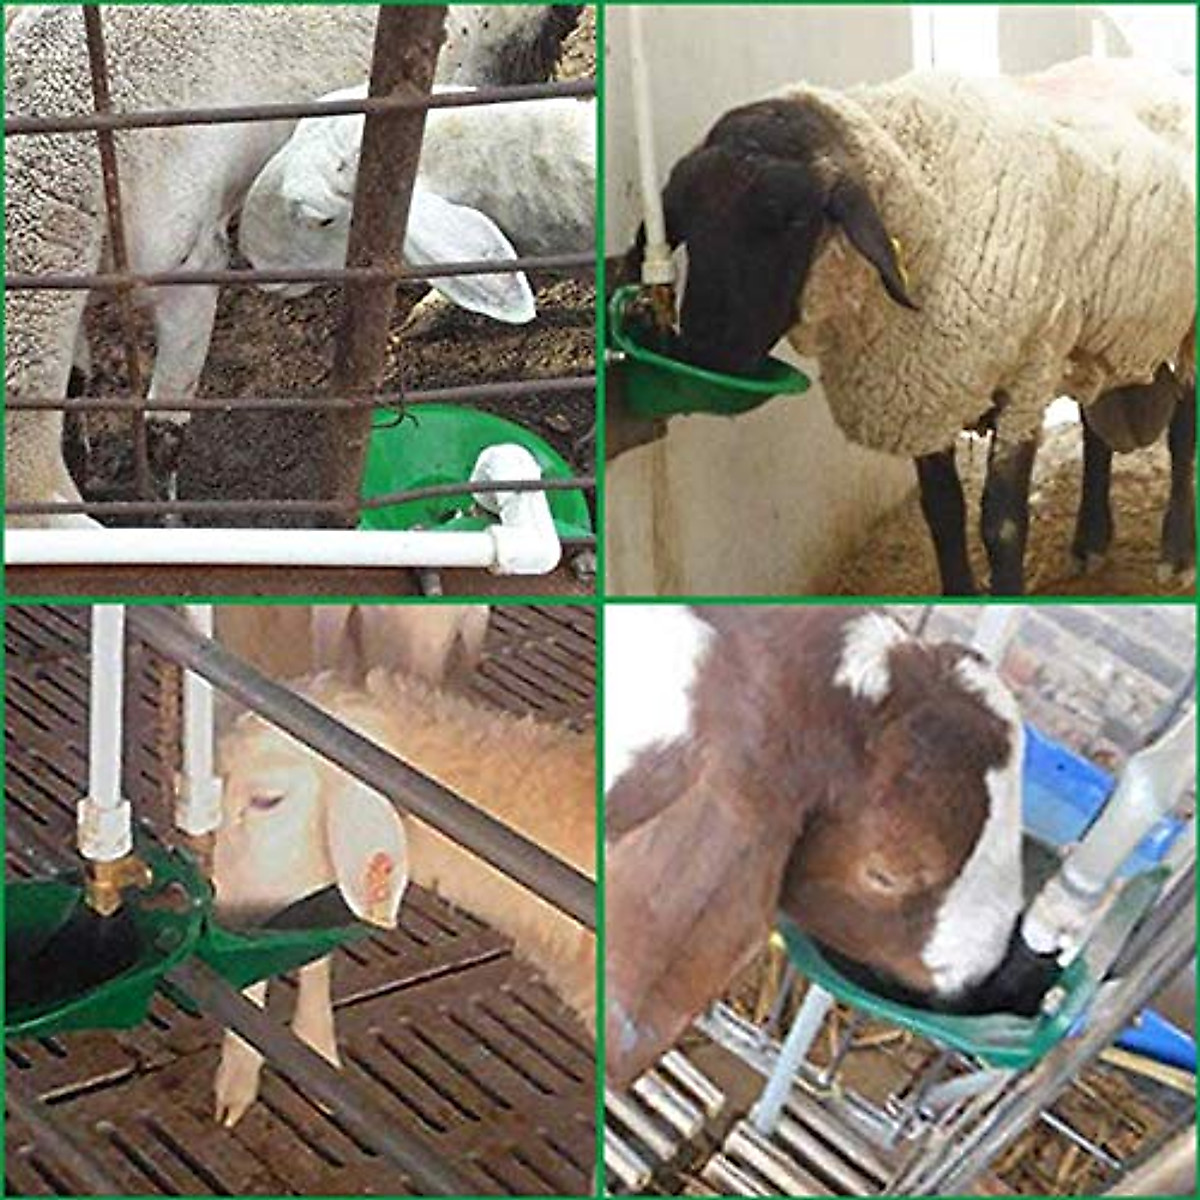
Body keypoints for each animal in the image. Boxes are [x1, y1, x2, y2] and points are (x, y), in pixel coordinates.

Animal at [656, 57, 1195, 594]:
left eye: (792, 219)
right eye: (685, 221)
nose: (704, 351)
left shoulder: (1029, 372)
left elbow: (1001, 521)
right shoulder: (926, 384)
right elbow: (943, 511)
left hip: (1183, 332)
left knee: (1181, 432)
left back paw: (1176, 553)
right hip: (1099, 334)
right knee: (1095, 428)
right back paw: (1091, 541)